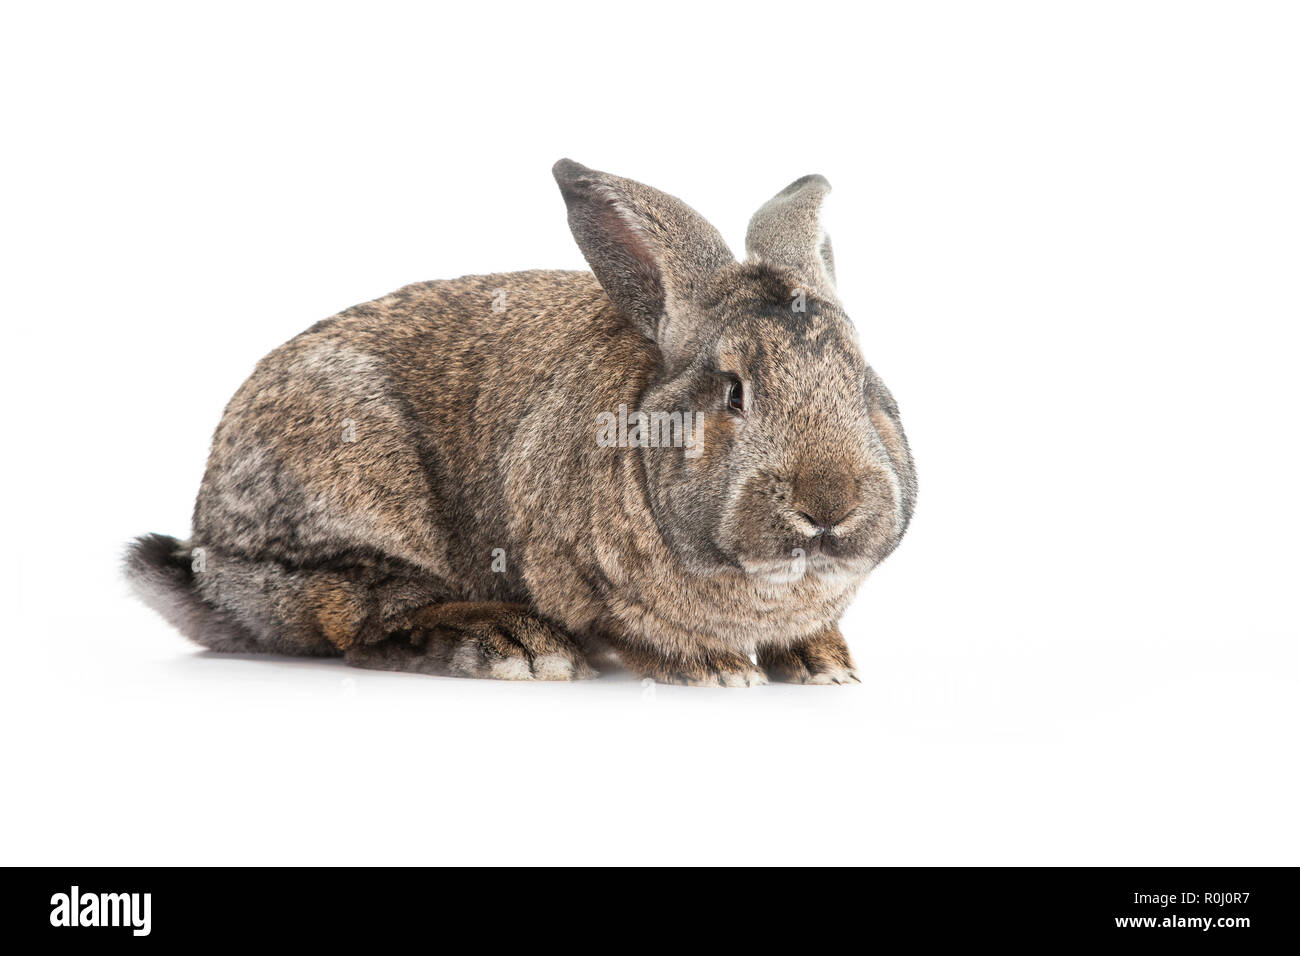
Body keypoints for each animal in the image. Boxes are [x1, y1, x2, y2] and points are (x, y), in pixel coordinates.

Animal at [124, 159, 916, 686]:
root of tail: (209, 558)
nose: (830, 504)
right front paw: (719, 671)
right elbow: (633, 632)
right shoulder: (572, 569)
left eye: (866, 383)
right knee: (361, 621)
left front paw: (823, 665)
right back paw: (514, 647)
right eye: (733, 392)